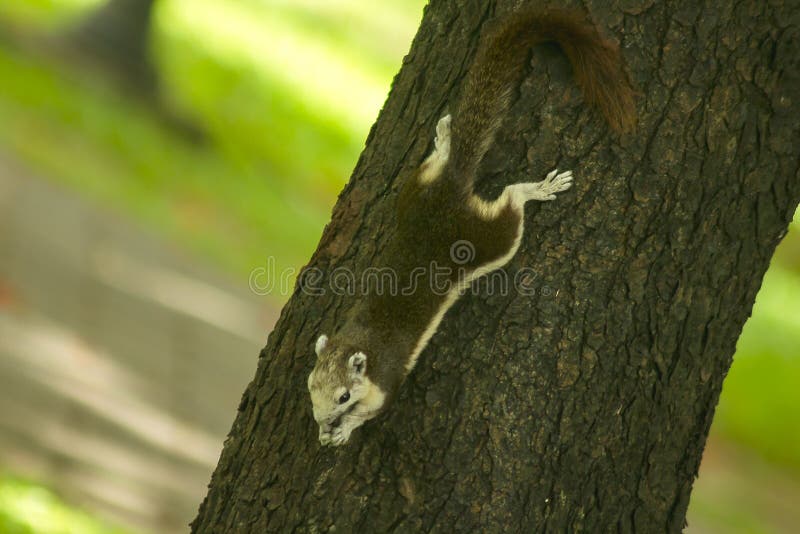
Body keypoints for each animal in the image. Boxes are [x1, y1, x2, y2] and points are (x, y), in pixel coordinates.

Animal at [307, 9, 636, 446]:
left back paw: (539, 187)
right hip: (416, 190)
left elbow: (375, 410)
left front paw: (343, 431)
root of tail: (451, 189)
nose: (324, 419)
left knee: (511, 201)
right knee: (438, 164)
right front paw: (326, 432)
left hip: (489, 239)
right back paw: (447, 138)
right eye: (311, 386)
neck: (360, 341)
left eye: (344, 395)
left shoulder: (387, 379)